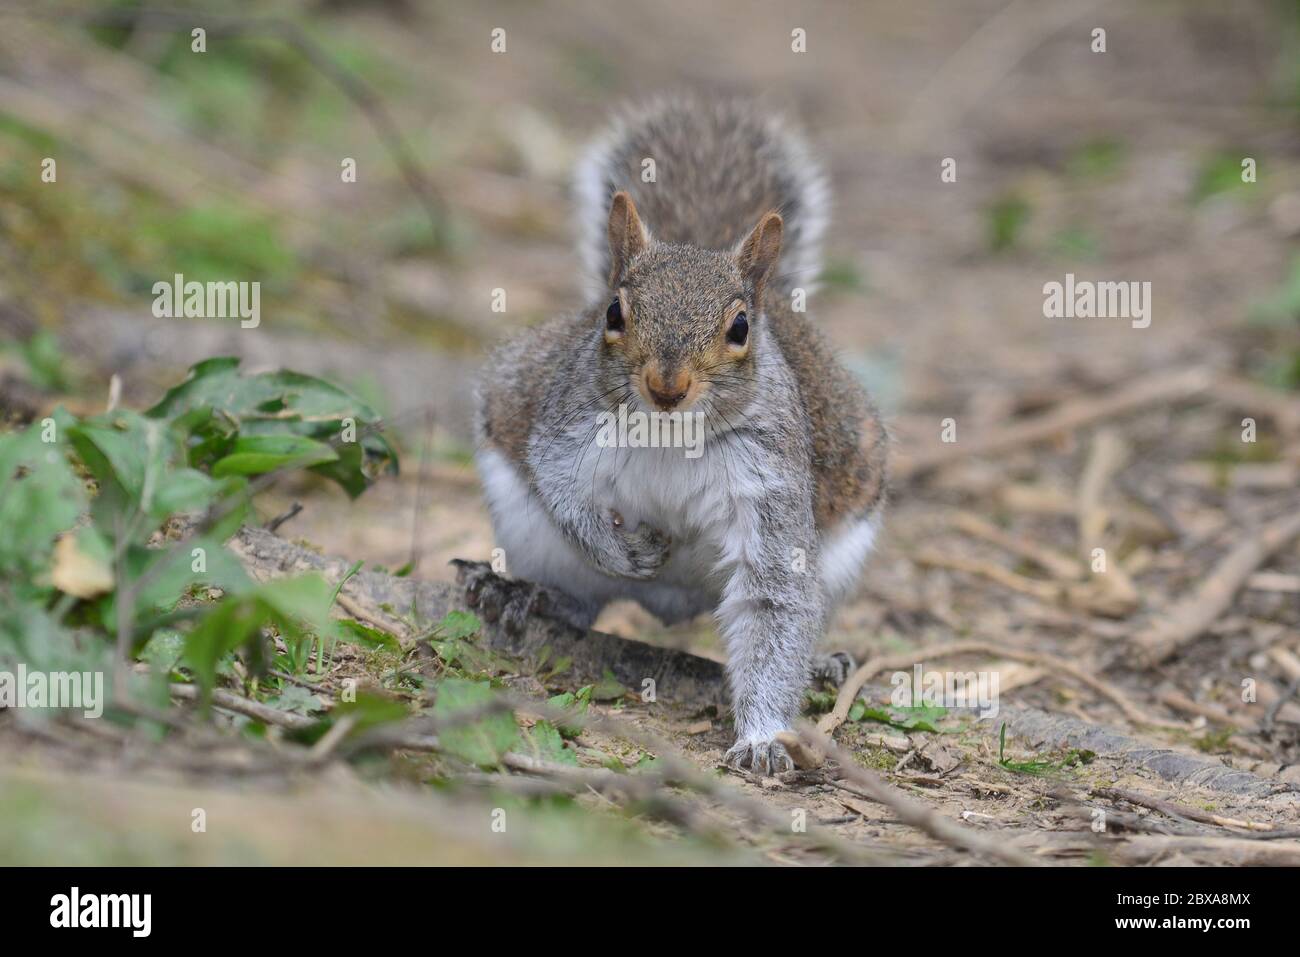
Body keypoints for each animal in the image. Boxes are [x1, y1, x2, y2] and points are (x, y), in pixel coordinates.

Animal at [474, 96, 887, 774]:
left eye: (741, 327)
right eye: (613, 313)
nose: (666, 386)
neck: (672, 431)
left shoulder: (771, 478)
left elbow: (776, 599)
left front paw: (763, 736)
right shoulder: (569, 424)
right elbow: (562, 488)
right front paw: (625, 550)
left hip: (846, 548)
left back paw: (826, 663)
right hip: (526, 524)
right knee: (579, 595)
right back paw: (526, 595)